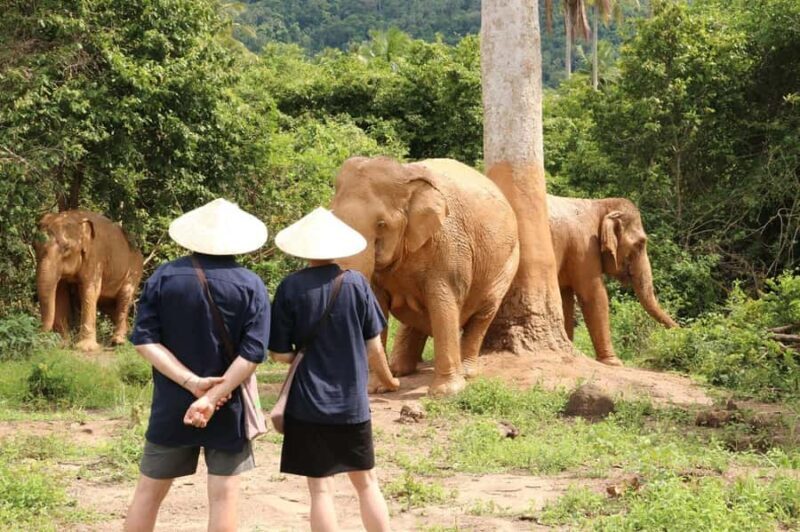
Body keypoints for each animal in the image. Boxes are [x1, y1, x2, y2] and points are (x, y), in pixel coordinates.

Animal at [35, 210, 143, 352]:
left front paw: (85, 347)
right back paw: (129, 338)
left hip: (134, 271)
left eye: (66, 248)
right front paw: (62, 345)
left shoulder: (95, 256)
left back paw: (118, 342)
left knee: (124, 298)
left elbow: (89, 290)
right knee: (110, 307)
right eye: (34, 247)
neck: (76, 217)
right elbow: (59, 293)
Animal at [331, 157, 520, 397]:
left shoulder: (449, 247)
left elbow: (443, 303)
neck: (406, 176)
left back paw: (465, 373)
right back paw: (399, 370)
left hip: (506, 265)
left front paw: (446, 393)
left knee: (482, 315)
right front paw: (374, 389)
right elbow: (377, 304)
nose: (396, 386)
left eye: (381, 224)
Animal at [548, 195, 678, 366]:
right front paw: (613, 362)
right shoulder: (585, 248)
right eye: (640, 243)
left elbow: (565, 299)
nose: (682, 331)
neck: (599, 204)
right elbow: (594, 295)